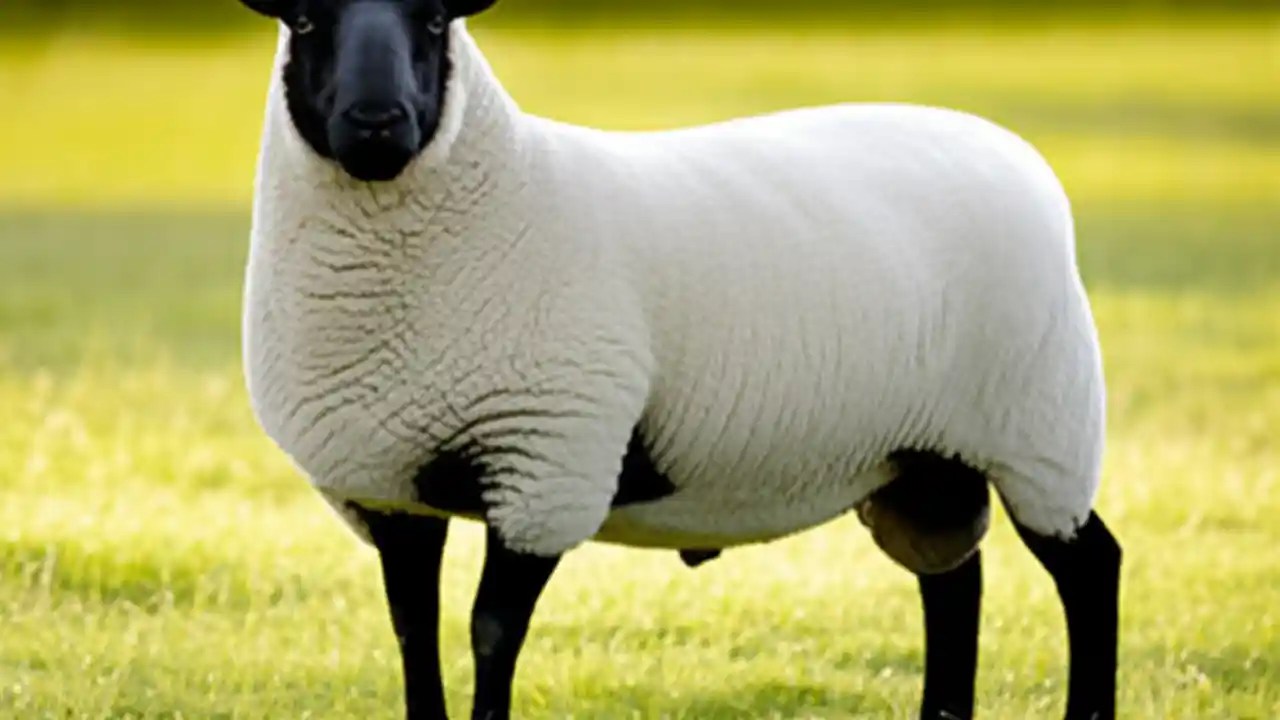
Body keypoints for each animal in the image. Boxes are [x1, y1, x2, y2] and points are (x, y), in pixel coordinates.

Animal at [237, 1, 1123, 719]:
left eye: (432, 19)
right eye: (306, 20)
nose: (377, 121)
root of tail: (1014, 151)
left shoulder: (545, 463)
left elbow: (491, 633)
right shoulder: (389, 487)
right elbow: (412, 633)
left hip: (1040, 429)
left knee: (1090, 568)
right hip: (926, 457)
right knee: (953, 583)